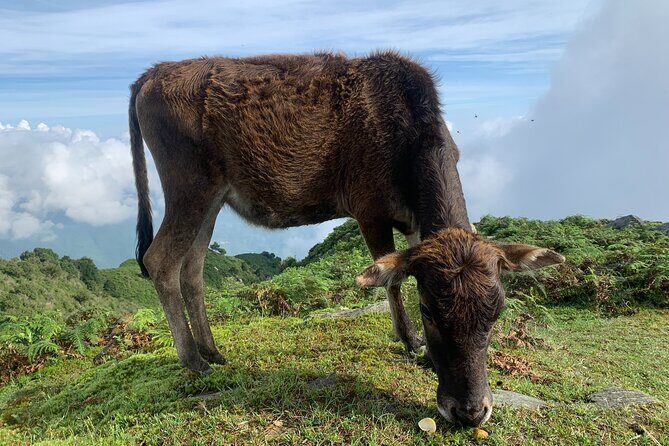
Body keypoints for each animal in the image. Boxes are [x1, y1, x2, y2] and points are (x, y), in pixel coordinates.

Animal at [129, 51, 564, 427]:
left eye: (497, 312)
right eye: (429, 311)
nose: (470, 412)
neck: (412, 135)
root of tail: (151, 73)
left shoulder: (414, 222)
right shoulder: (368, 207)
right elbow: (392, 279)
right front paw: (411, 341)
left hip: (214, 197)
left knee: (193, 267)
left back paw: (212, 350)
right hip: (189, 183)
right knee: (160, 260)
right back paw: (193, 360)